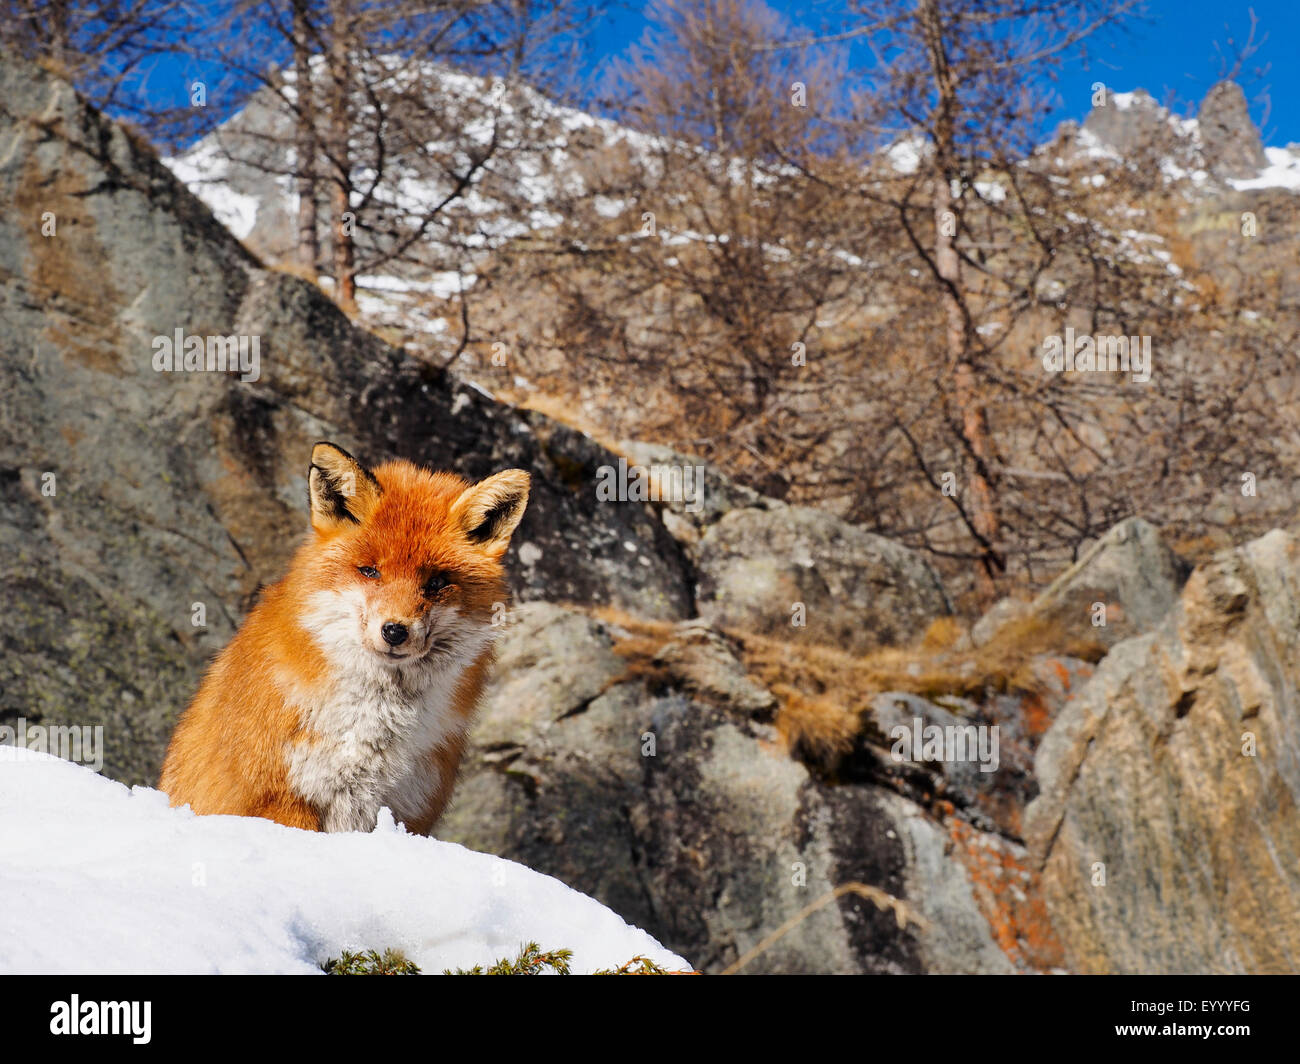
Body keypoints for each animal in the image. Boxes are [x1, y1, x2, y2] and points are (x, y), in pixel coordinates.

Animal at [158, 441, 530, 835]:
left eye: (437, 583)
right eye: (370, 571)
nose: (395, 631)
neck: (376, 726)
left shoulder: (408, 810)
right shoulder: (278, 796)